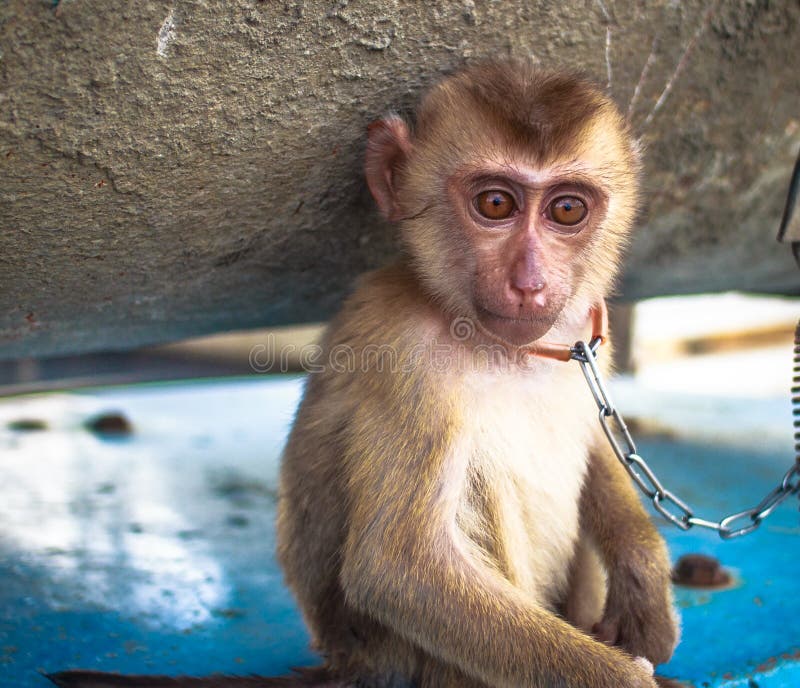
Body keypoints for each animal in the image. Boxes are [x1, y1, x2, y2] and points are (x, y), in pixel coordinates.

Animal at [49, 59, 679, 688]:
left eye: (567, 210)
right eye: (496, 204)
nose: (530, 283)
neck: (499, 344)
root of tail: (351, 666)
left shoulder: (587, 326)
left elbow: (598, 441)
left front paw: (644, 576)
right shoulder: (404, 353)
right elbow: (398, 566)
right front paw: (625, 679)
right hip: (422, 660)